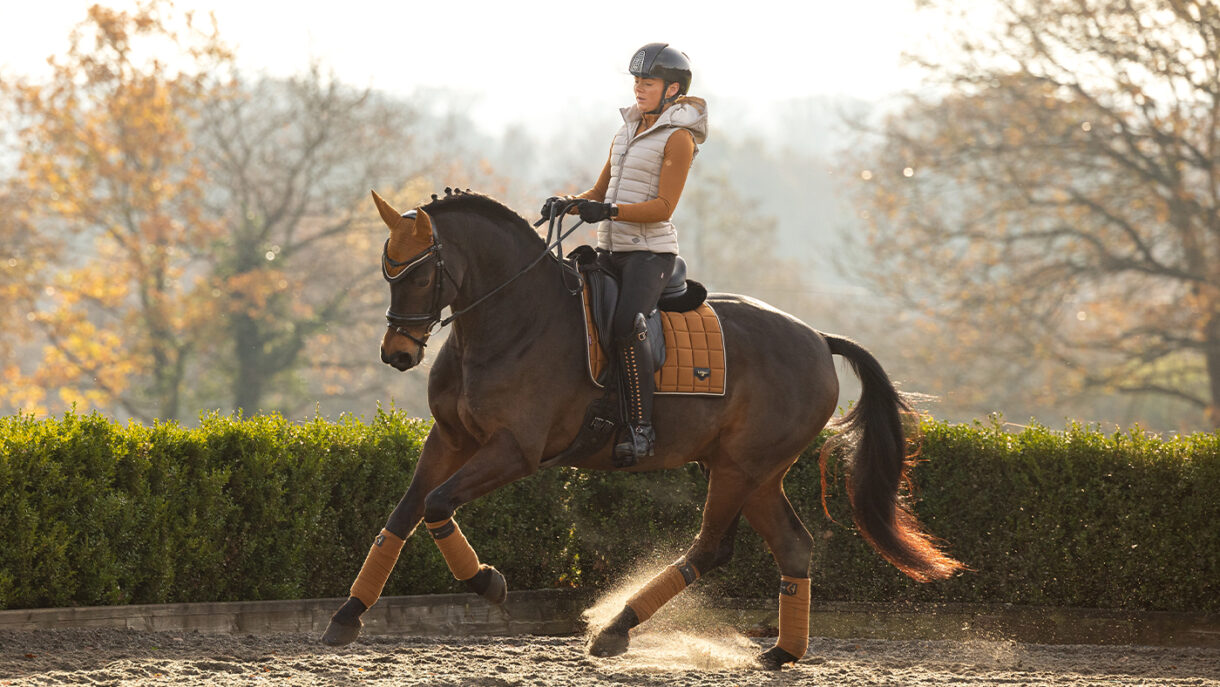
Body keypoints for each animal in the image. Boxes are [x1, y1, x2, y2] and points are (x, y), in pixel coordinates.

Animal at [321, 189, 963, 669]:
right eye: (387, 268)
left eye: (419, 274)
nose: (397, 354)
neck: (511, 321)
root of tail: (817, 338)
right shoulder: (451, 439)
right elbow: (405, 512)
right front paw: (347, 615)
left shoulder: (514, 450)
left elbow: (436, 504)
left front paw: (488, 582)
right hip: (754, 473)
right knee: (792, 545)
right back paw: (780, 653)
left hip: (741, 468)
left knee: (713, 547)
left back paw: (616, 628)